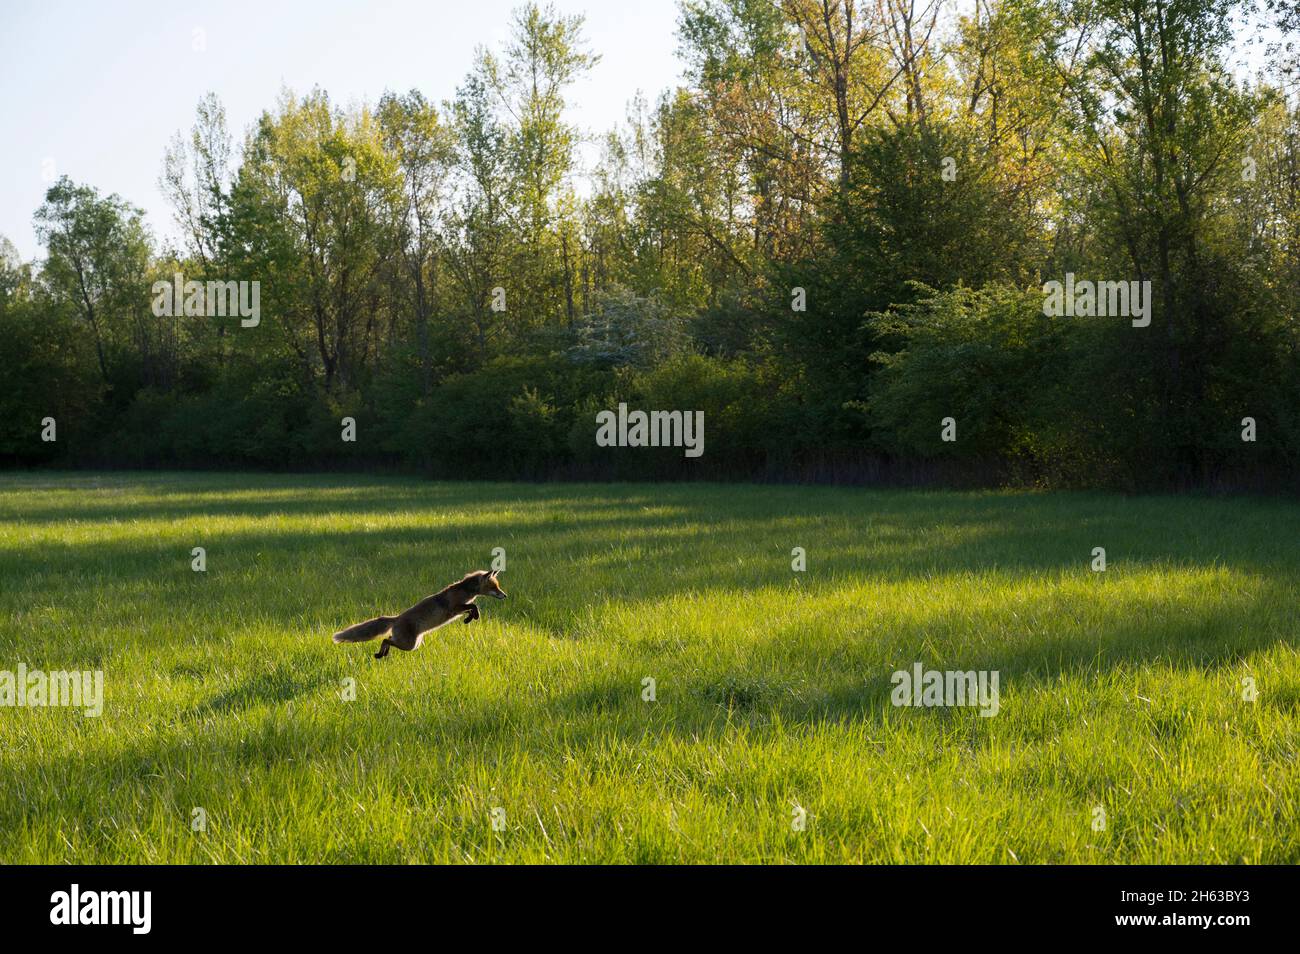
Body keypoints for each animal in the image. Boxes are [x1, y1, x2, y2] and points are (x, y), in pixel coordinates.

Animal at [332, 569, 507, 659]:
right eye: (494, 587)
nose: (505, 595)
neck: (464, 591)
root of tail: (396, 618)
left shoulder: (459, 609)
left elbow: (472, 607)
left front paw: (470, 618)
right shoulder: (454, 608)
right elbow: (474, 606)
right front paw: (473, 617)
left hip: (412, 644)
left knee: (388, 639)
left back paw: (382, 654)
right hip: (410, 645)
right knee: (385, 639)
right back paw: (381, 653)